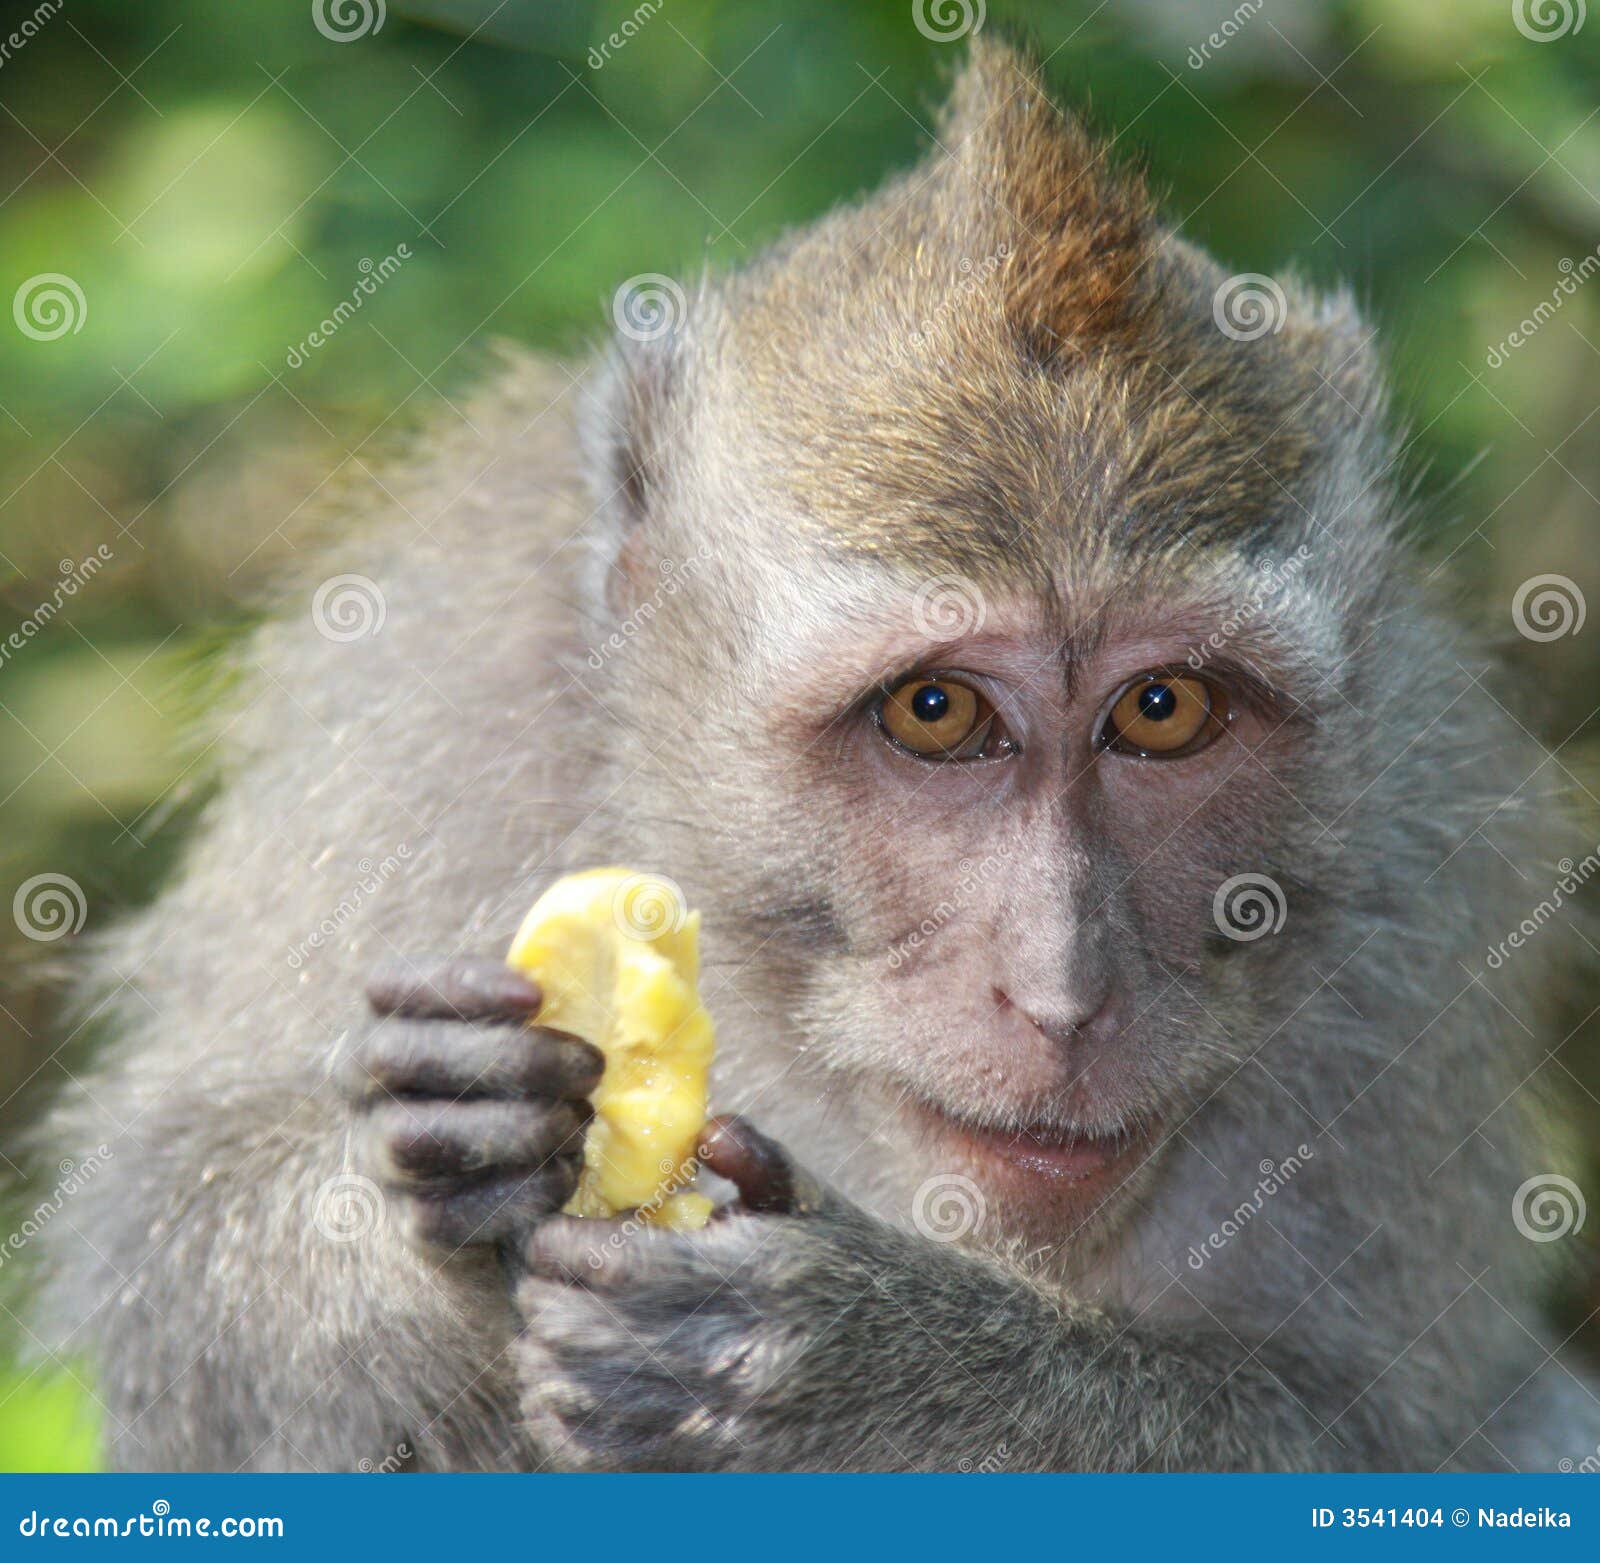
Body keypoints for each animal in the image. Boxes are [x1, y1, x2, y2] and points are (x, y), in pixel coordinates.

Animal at [31, 37, 1600, 1472]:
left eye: (1164, 710)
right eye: (936, 713)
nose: (1062, 993)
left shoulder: (1416, 868)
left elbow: (1398, 1433)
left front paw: (864, 1372)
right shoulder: (419, 700)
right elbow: (163, 1263)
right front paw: (441, 1160)